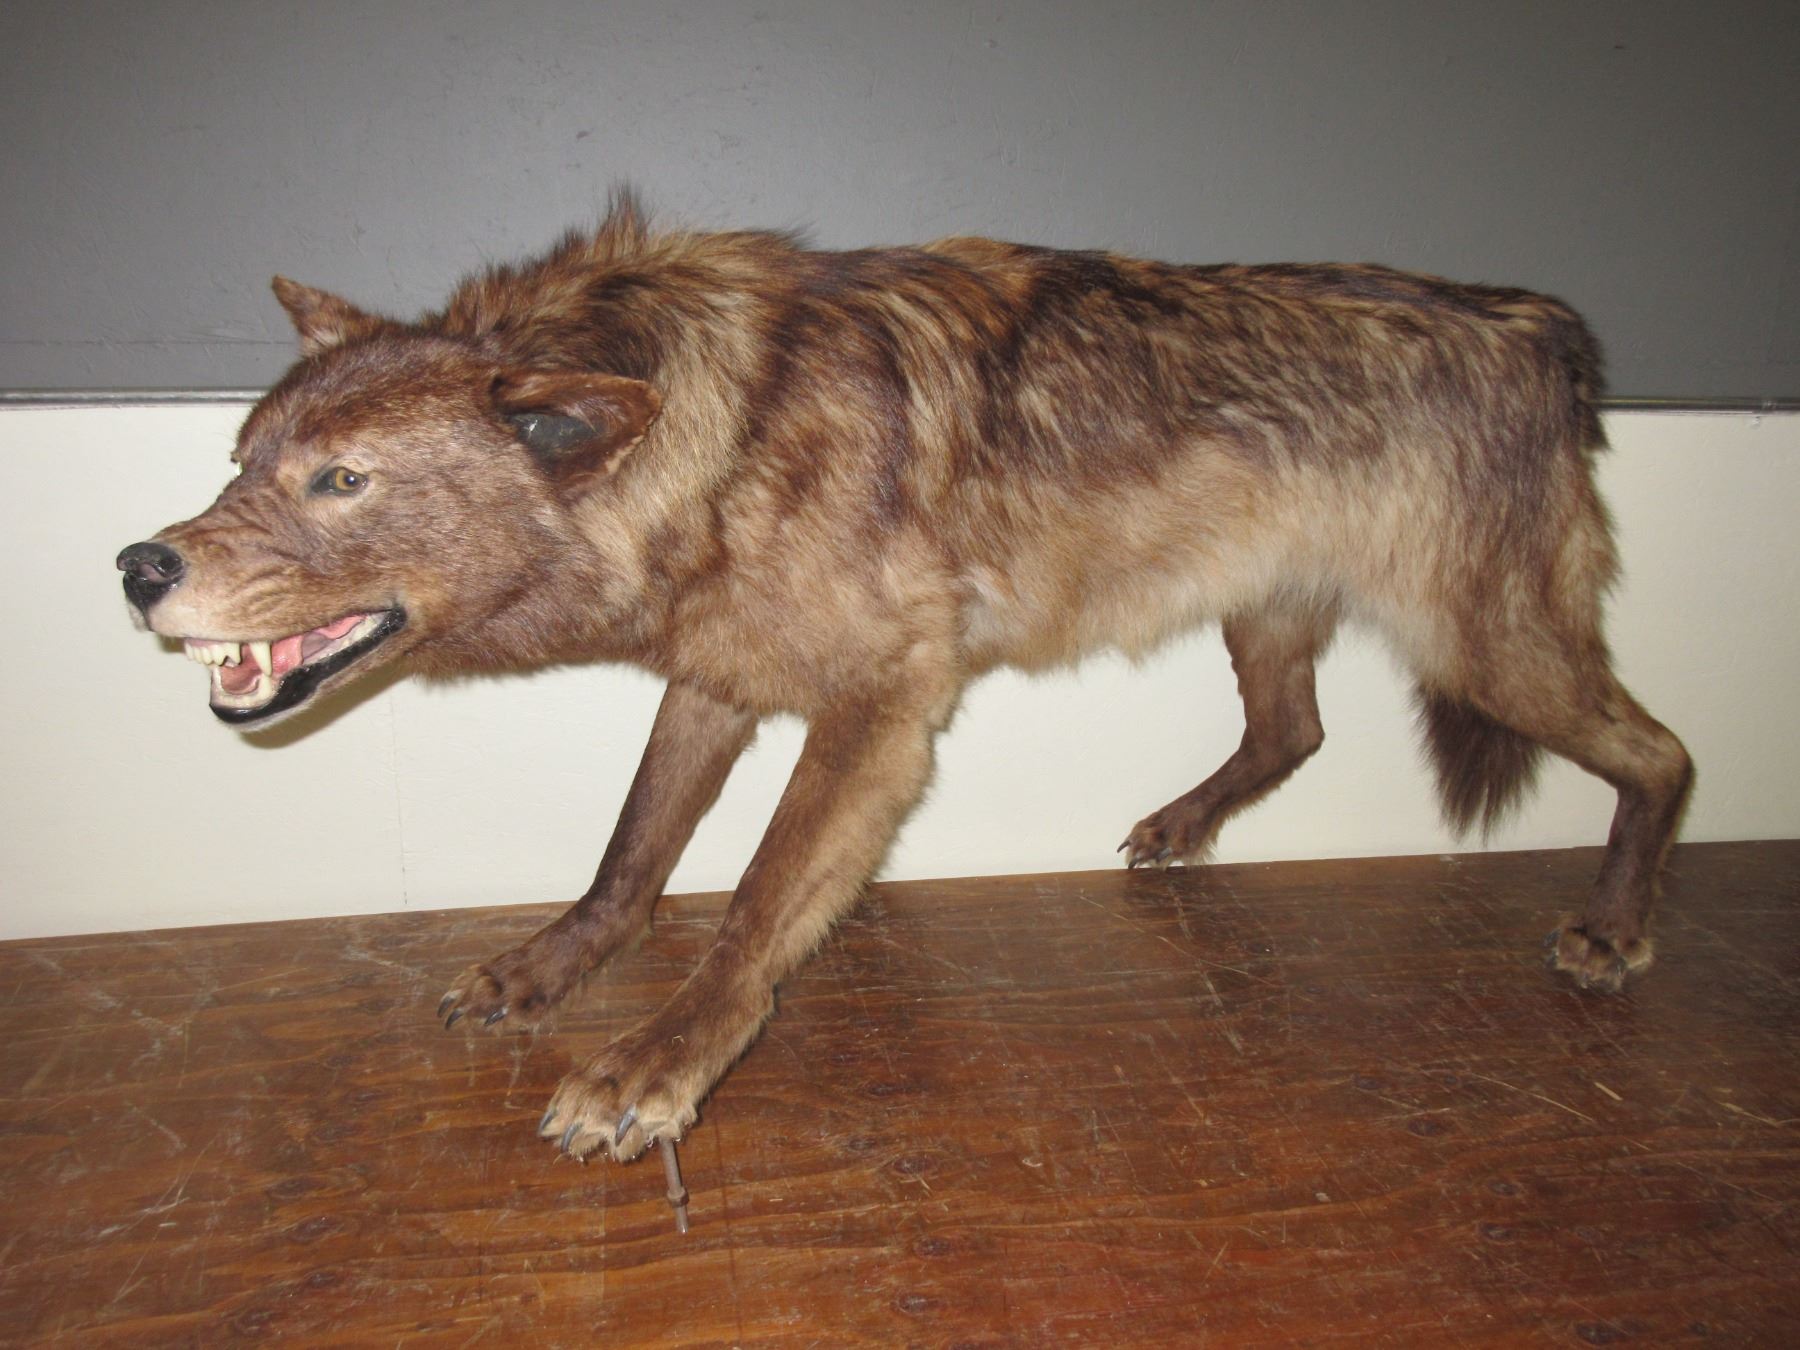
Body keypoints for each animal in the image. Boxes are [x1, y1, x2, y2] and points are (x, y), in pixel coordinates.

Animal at [117, 195, 1692, 1163]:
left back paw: (1616, 933)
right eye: (243, 459)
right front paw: (542, 970)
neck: (727, 432)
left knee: (1664, 756)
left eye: (340, 482)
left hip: (1486, 648)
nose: (136, 565)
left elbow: (752, 908)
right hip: (1282, 626)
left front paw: (657, 1065)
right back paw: (1179, 830)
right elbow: (630, 856)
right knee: (1294, 731)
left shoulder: (881, 703)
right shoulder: (721, 675)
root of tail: (1545, 327)